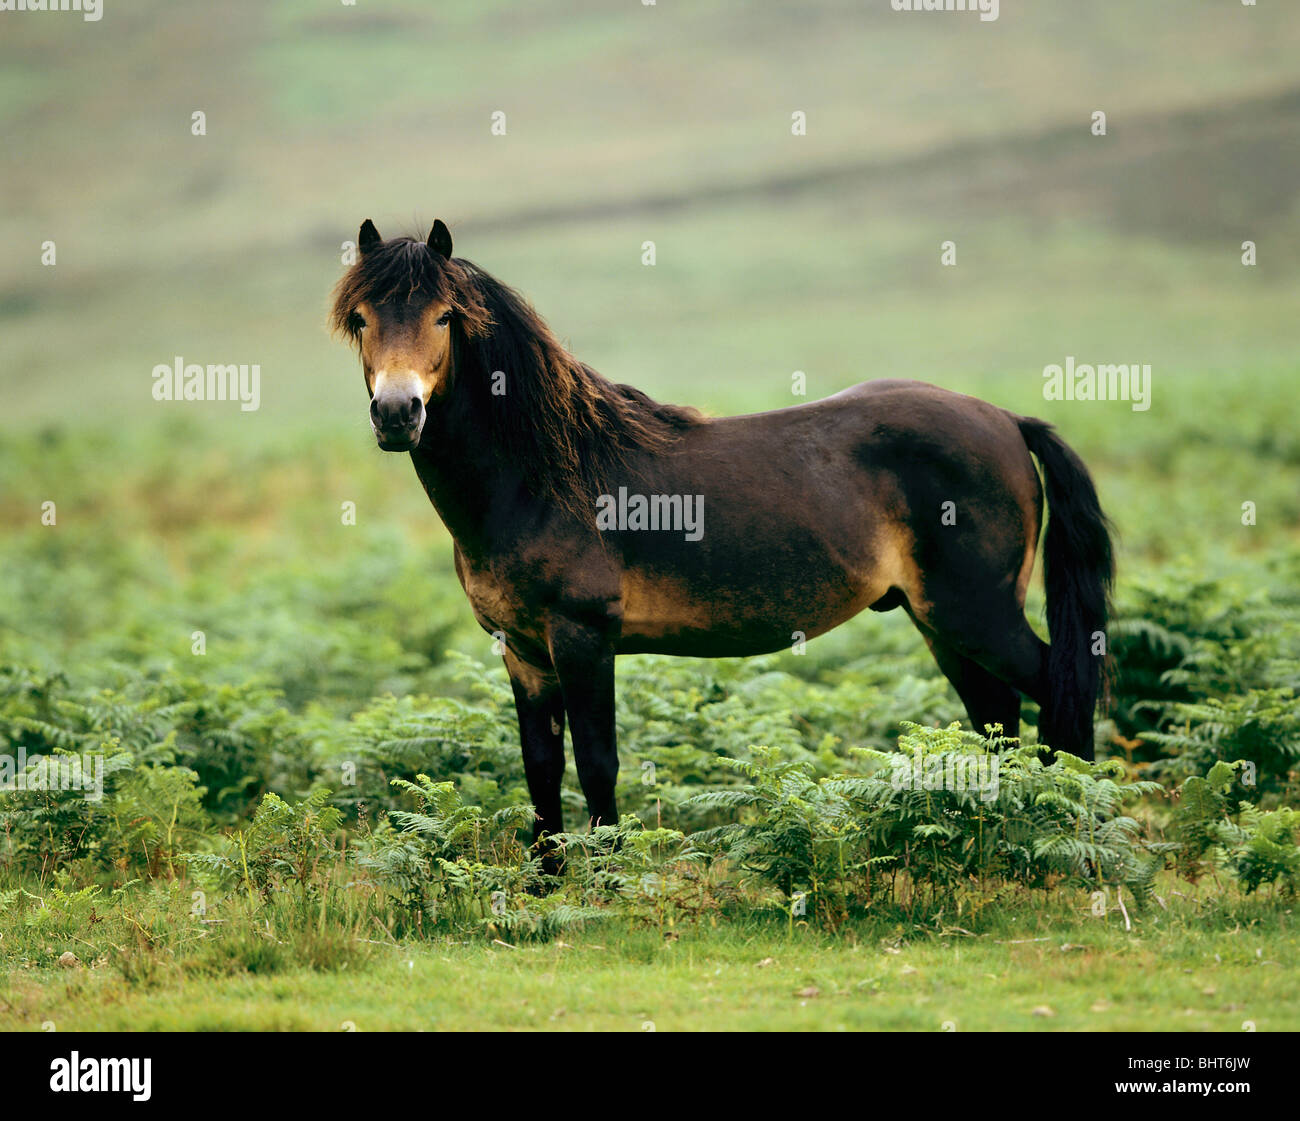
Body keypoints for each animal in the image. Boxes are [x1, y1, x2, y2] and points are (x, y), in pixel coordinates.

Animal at [331, 217, 1114, 854]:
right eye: (363, 319)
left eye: (443, 316)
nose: (397, 413)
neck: (542, 475)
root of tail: (1007, 420)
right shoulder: (523, 653)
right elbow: (542, 771)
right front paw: (542, 887)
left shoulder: (583, 638)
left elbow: (598, 763)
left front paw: (606, 884)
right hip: (939, 623)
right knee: (995, 715)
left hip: (976, 614)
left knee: (1057, 692)